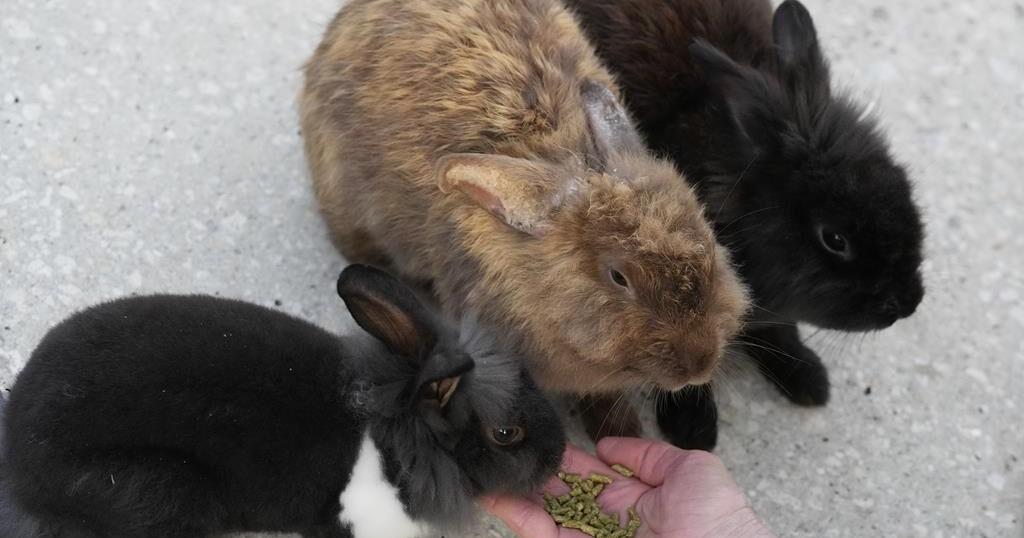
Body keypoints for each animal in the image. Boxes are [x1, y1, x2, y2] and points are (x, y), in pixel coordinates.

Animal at [566, 0, 926, 449]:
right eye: (834, 238)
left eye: (903, 184)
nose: (908, 304)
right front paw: (694, 432)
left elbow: (780, 332)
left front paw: (809, 381)